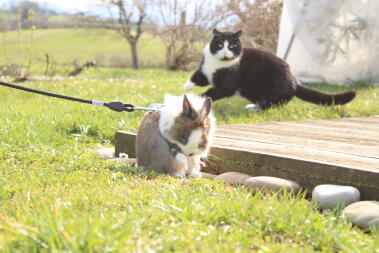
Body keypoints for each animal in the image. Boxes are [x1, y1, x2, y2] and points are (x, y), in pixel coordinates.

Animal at [184, 29, 356, 110]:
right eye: (220, 45)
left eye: (232, 46)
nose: (226, 53)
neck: (218, 64)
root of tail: (295, 79)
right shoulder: (206, 68)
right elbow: (198, 76)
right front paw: (186, 86)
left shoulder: (227, 85)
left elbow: (212, 92)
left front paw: (196, 98)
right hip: (253, 91)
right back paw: (253, 106)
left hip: (269, 89)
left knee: (269, 104)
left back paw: (253, 109)